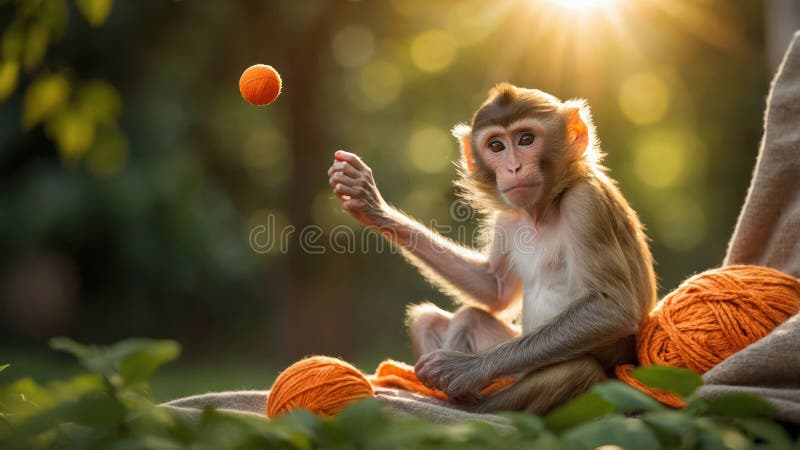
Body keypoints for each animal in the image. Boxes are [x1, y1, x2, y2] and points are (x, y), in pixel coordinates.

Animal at [326, 83, 657, 414]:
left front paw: (463, 370)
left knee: (575, 371)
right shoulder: (508, 216)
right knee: (443, 319)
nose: (513, 167)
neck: (543, 208)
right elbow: (494, 289)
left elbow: (612, 308)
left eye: (526, 139)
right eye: (496, 146)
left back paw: (468, 404)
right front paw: (371, 204)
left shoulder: (585, 202)